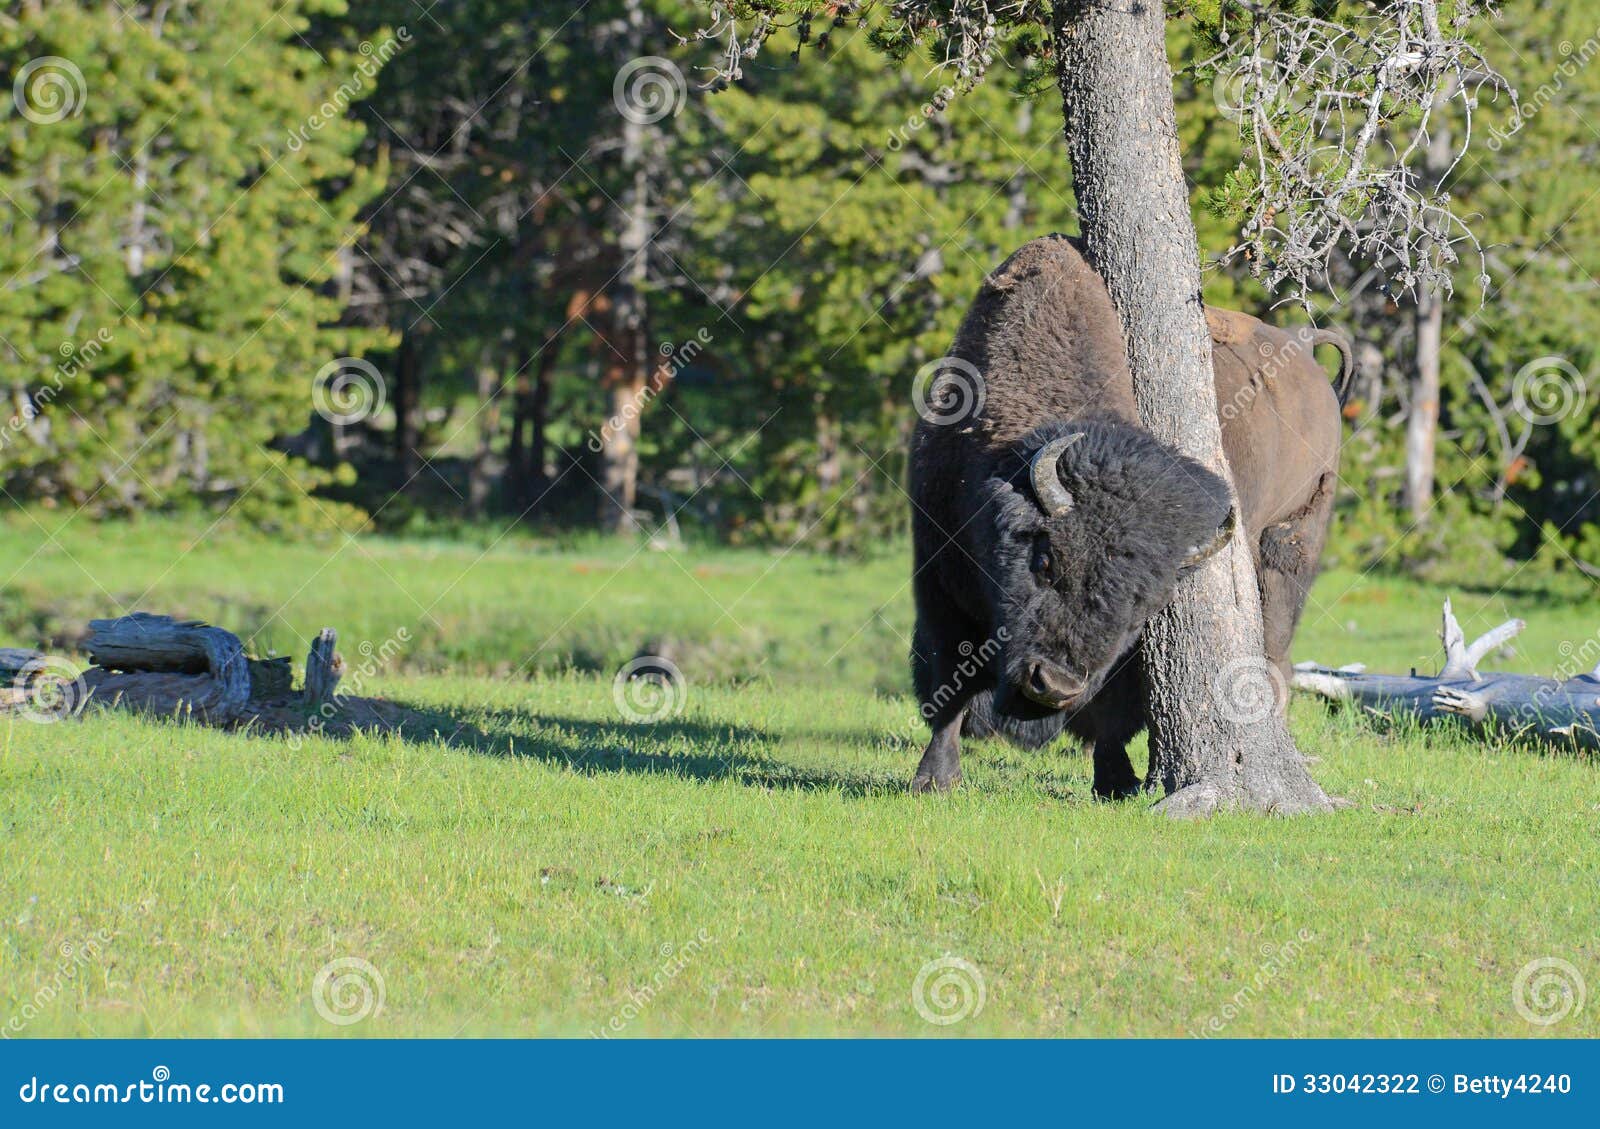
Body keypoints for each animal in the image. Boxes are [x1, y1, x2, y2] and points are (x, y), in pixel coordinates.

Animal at [908, 234, 1348, 799]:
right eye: (1045, 562)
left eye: (1142, 606)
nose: (1054, 685)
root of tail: (1308, 359)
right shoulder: (936, 575)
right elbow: (949, 684)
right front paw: (934, 778)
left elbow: (1110, 711)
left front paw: (1115, 780)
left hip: (1291, 542)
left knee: (1276, 651)